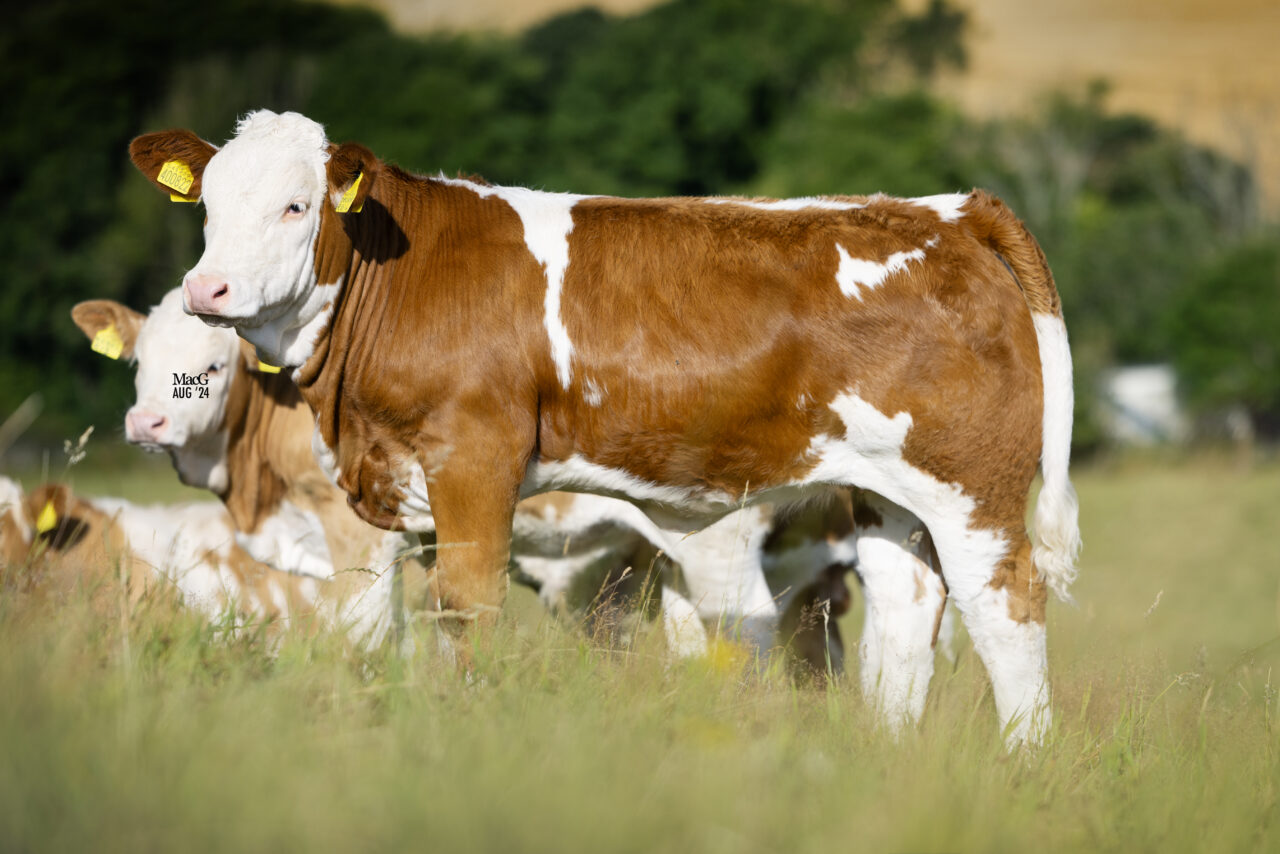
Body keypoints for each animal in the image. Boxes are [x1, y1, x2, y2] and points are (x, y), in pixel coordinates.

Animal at [129, 110, 1079, 743]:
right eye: (207, 207)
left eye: (297, 206)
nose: (208, 288)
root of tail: (943, 209)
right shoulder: (401, 489)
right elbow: (414, 620)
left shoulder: (474, 463)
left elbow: (466, 606)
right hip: (887, 493)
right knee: (904, 605)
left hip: (972, 486)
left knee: (1006, 607)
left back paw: (1025, 766)